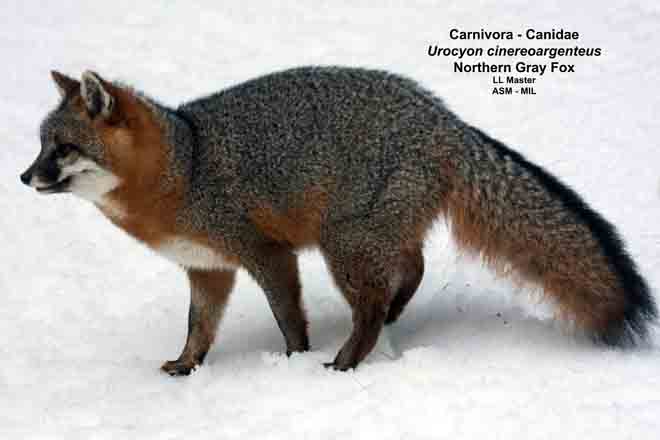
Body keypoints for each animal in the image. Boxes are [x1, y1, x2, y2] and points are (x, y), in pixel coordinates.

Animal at [21, 66, 656, 374]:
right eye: (40, 146)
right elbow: (198, 329)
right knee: (412, 266)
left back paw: (347, 361)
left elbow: (288, 320)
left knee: (373, 305)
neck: (187, 162)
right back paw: (392, 317)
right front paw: (186, 367)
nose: (25, 178)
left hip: (340, 243)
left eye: (62, 149)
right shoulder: (208, 270)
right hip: (369, 235)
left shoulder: (266, 254)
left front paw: (294, 363)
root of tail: (445, 117)